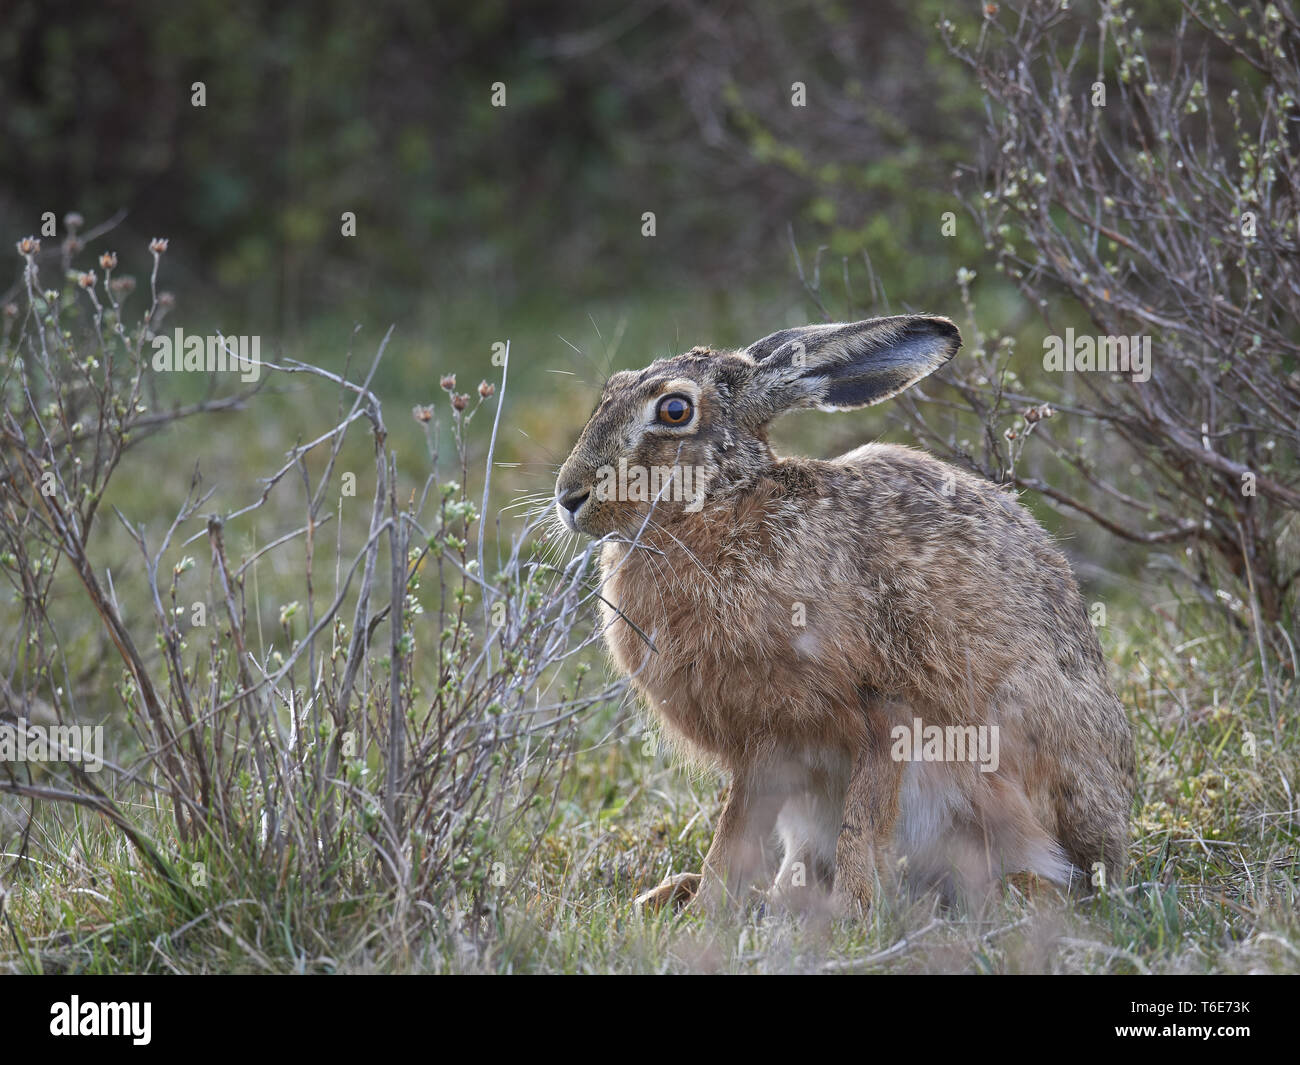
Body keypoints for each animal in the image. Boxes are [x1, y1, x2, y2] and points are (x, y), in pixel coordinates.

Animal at [553, 315, 1135, 915]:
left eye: (674, 410)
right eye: (612, 389)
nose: (569, 497)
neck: (720, 507)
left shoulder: (884, 706)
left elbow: (860, 819)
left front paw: (851, 913)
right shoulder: (766, 751)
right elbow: (738, 831)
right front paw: (714, 910)